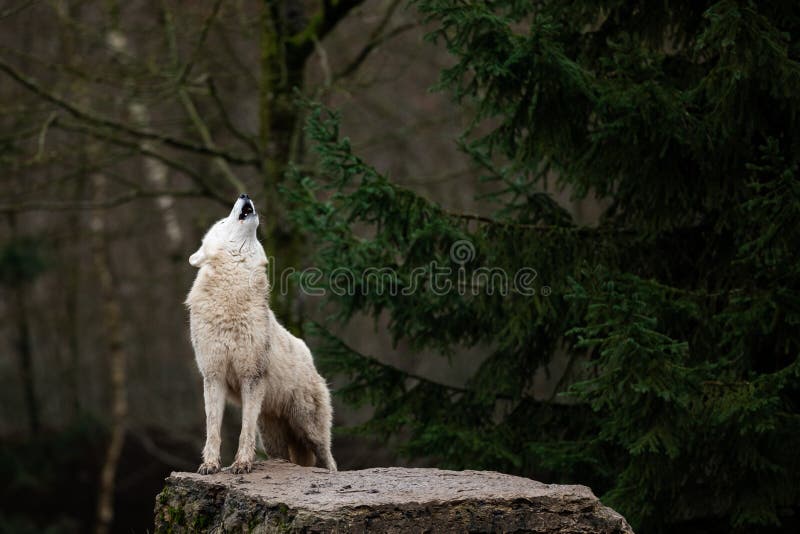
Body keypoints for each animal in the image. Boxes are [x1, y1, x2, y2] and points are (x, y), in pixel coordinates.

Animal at [185, 194, 336, 474]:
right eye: (222, 222)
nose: (244, 195)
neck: (231, 297)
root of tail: (307, 354)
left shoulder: (251, 377)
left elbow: (244, 431)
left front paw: (242, 463)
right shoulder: (213, 377)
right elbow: (212, 429)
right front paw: (210, 465)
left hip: (309, 428)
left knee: (329, 460)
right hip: (273, 437)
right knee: (284, 456)